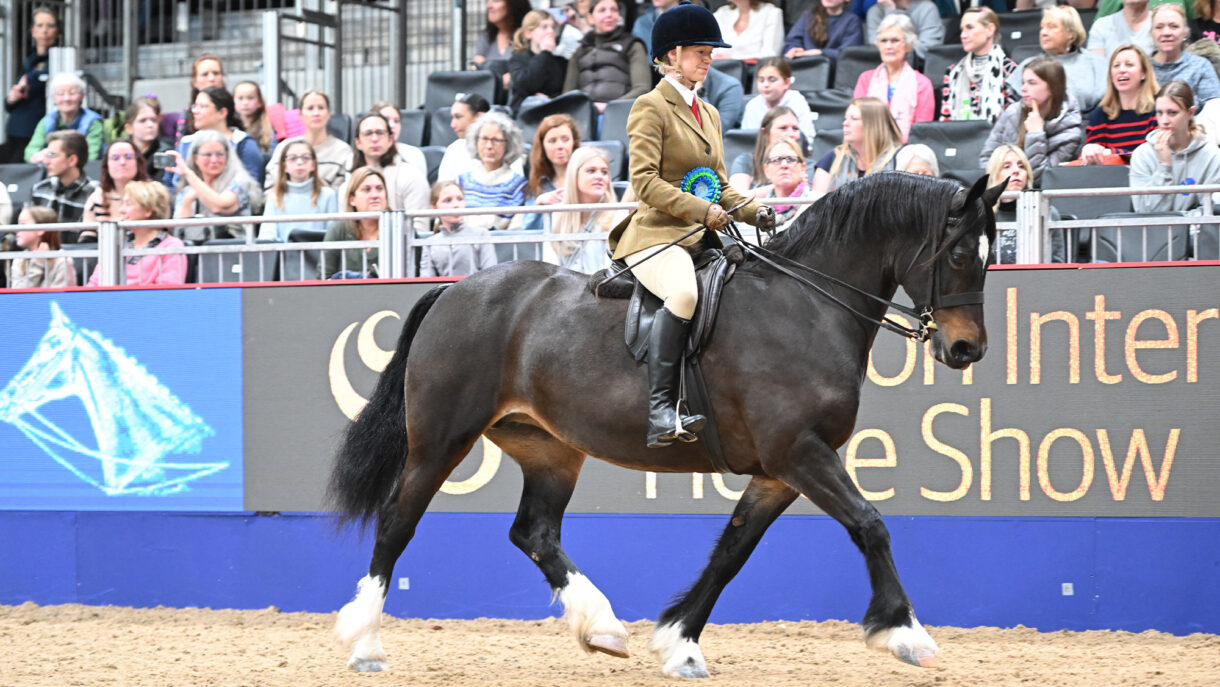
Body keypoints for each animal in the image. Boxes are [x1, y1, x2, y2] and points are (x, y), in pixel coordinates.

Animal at [328, 172, 1002, 677]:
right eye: (960, 254)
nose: (967, 349)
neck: (806, 305)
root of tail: (453, 289)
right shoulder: (800, 453)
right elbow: (870, 525)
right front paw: (905, 633)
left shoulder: (779, 471)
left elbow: (732, 551)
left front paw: (679, 643)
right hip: (441, 438)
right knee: (398, 522)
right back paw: (364, 644)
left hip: (551, 449)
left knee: (534, 532)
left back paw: (602, 627)